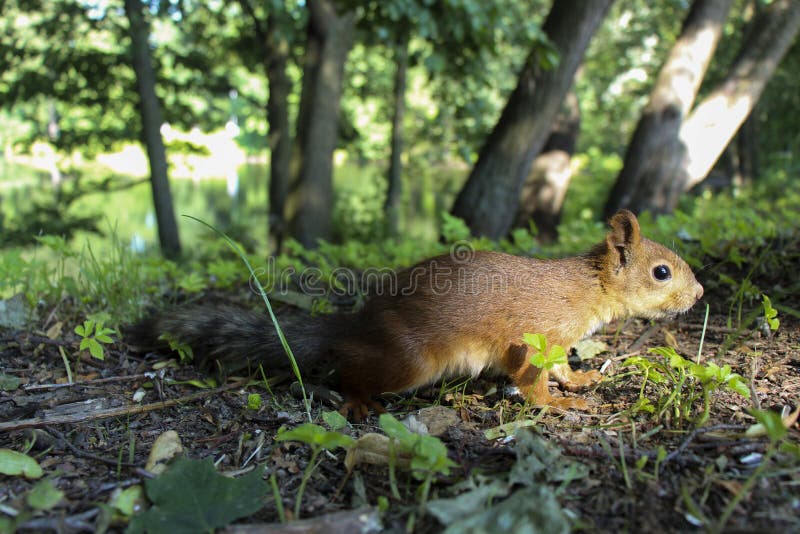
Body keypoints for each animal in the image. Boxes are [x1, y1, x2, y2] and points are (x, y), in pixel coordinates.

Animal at [129, 210, 703, 421]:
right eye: (661, 273)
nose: (698, 294)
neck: (586, 287)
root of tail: (355, 322)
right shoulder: (532, 335)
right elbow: (532, 380)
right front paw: (560, 405)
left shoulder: (557, 343)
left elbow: (561, 366)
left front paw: (580, 382)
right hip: (408, 361)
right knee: (349, 363)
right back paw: (356, 399)